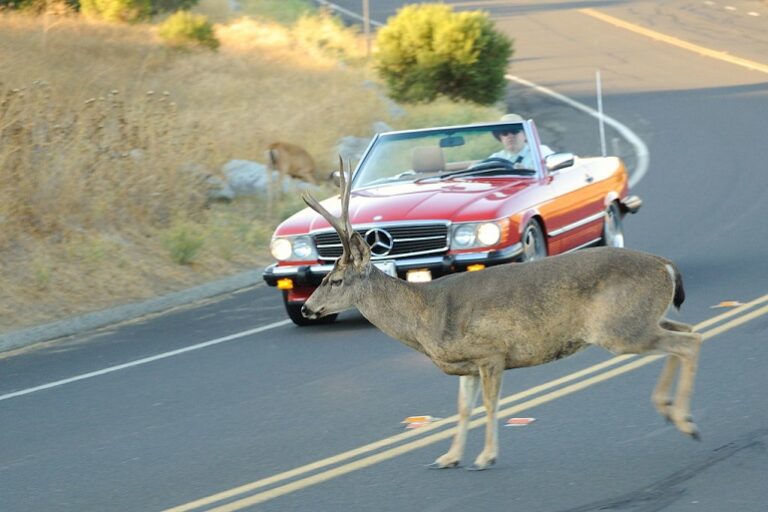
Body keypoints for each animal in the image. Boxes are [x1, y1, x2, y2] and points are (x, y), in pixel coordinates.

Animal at [300, 160, 703, 471]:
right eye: (323, 278)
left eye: (335, 280)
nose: (306, 307)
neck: (425, 315)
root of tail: (666, 266)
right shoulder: (466, 364)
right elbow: (463, 409)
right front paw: (448, 458)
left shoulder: (492, 353)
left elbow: (491, 406)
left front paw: (486, 457)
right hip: (641, 319)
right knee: (687, 331)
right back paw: (671, 412)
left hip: (620, 329)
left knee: (687, 341)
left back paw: (687, 423)